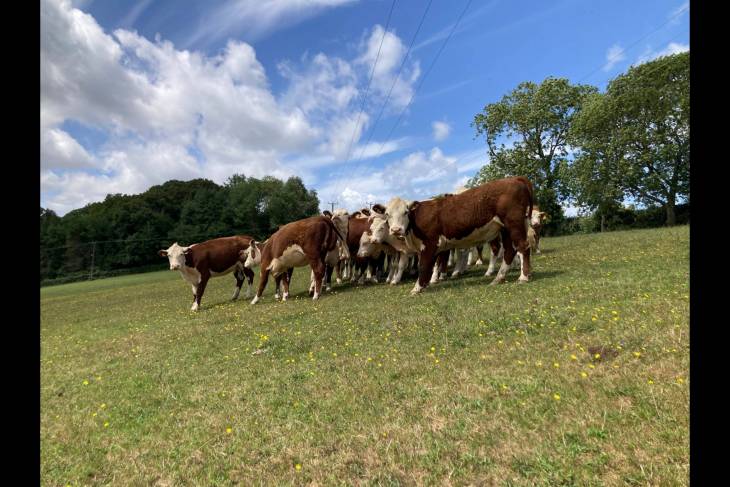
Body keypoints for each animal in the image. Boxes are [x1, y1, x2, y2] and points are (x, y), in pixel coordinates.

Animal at [378, 176, 534, 295]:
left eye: (405, 212)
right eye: (387, 214)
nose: (396, 230)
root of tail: (514, 178)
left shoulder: (430, 243)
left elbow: (424, 266)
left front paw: (417, 288)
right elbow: (433, 265)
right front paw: (427, 283)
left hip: (514, 223)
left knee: (523, 246)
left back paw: (523, 277)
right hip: (505, 229)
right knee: (509, 251)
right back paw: (498, 278)